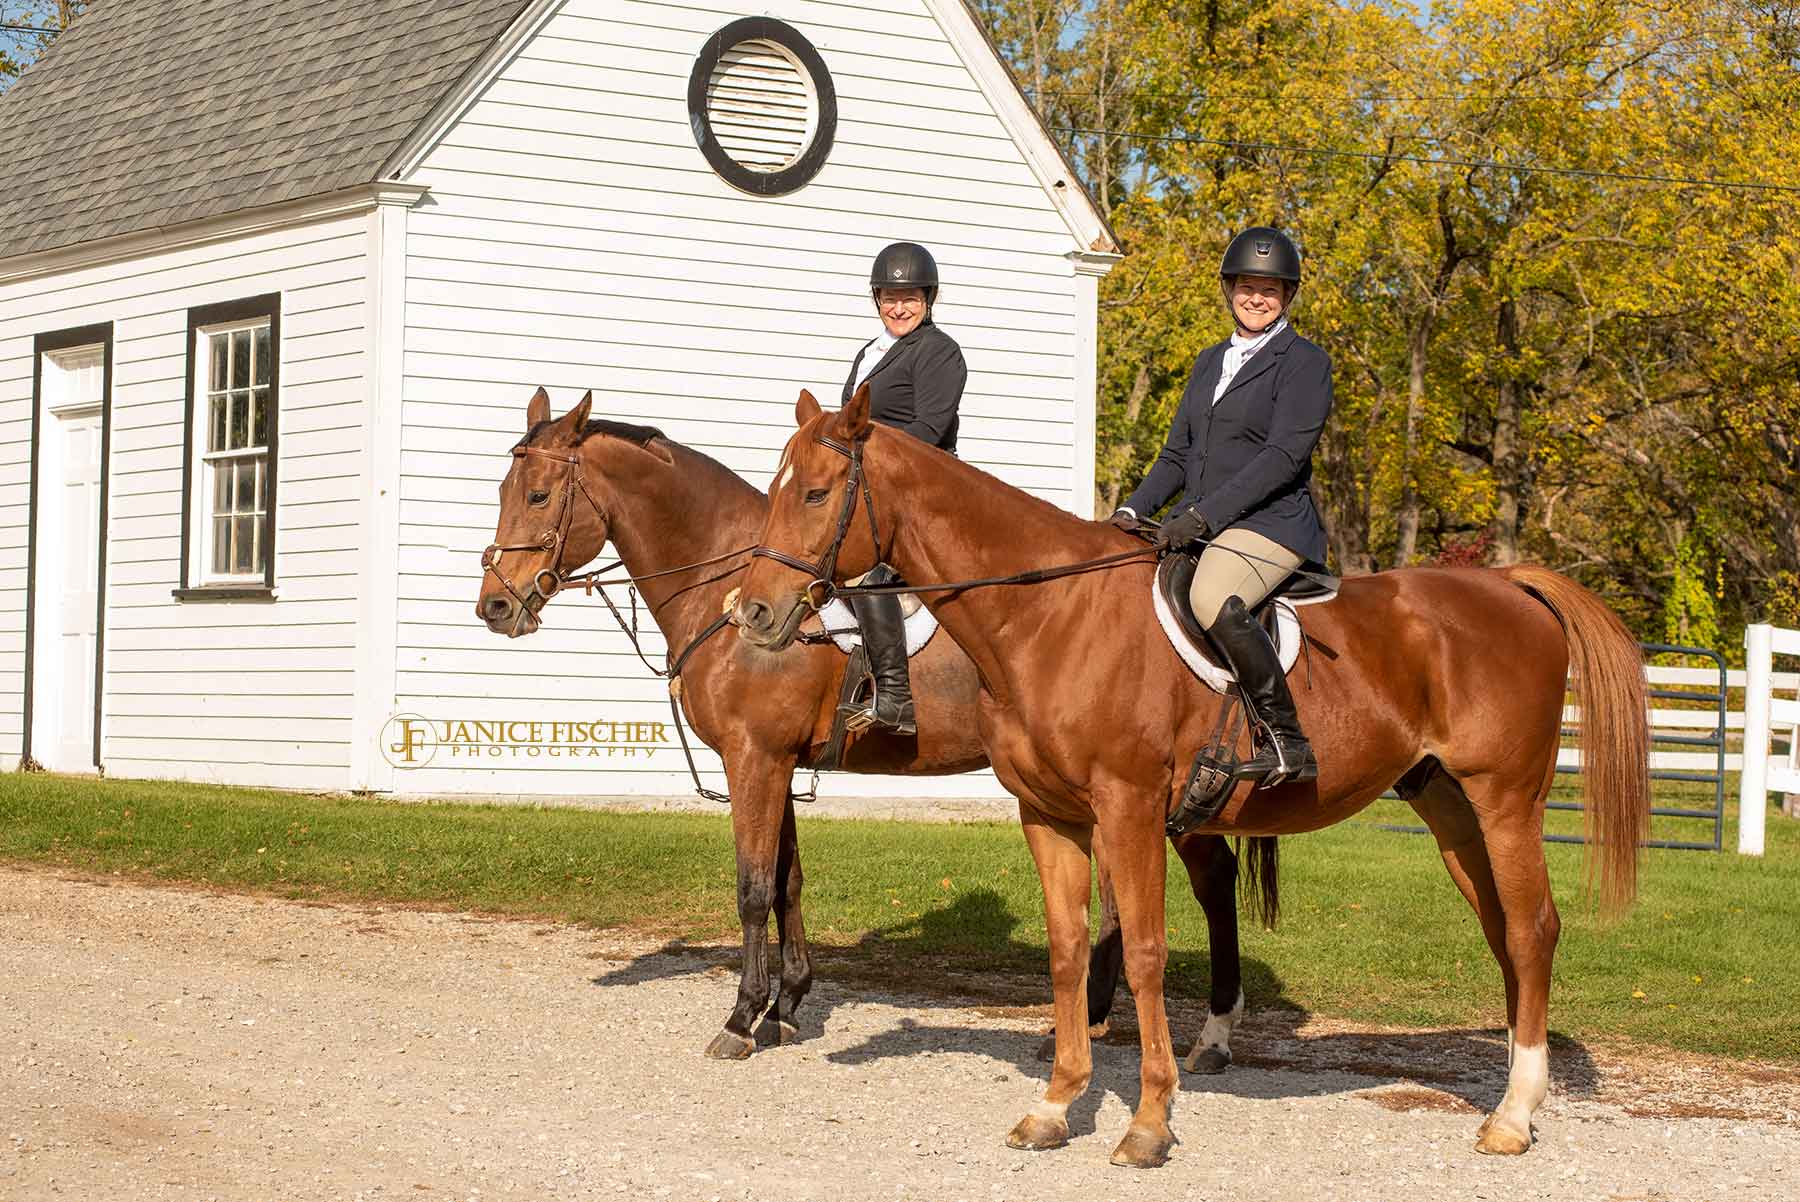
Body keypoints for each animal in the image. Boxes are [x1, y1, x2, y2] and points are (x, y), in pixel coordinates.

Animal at [474, 388, 1276, 1065]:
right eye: (504, 491)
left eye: (538, 494)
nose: (496, 606)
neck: (726, 590)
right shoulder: (776, 761)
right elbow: (788, 880)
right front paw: (788, 1005)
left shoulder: (754, 758)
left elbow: (753, 888)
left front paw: (742, 1019)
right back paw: (1095, 1019)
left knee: (1208, 881)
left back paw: (1201, 1031)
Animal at [734, 385, 1651, 1168]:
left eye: (816, 493)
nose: (752, 613)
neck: (1049, 616)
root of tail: (1509, 586)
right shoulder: (1048, 814)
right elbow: (1068, 953)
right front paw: (1056, 1105)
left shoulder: (1129, 807)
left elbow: (1142, 952)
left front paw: (1148, 1122)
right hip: (1448, 805)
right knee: (1503, 930)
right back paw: (1513, 1086)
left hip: (1506, 800)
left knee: (1532, 930)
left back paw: (1513, 1116)